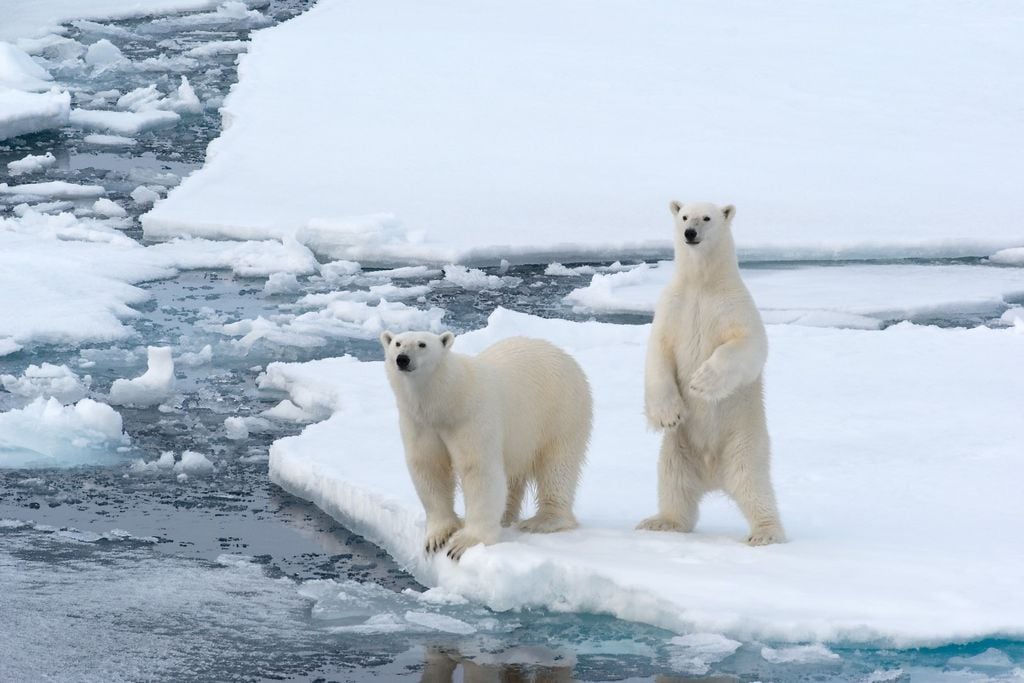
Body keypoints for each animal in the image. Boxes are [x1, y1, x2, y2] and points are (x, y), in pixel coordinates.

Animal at [380, 330, 593, 560]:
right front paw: (438, 537)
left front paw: (464, 542)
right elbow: (429, 468)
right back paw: (505, 517)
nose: (402, 359)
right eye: (397, 343)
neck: (448, 400)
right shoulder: (419, 423)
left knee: (557, 465)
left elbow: (478, 469)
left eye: (422, 344)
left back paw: (543, 520)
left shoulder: (472, 417)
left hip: (560, 411)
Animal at [637, 201, 785, 546]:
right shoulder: (672, 307)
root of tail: (713, 475)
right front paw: (668, 415)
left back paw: (765, 533)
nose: (690, 233)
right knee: (673, 485)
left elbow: (750, 344)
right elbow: (658, 354)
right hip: (677, 451)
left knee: (754, 487)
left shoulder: (733, 306)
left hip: (743, 444)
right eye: (683, 216)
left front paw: (702, 382)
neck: (702, 284)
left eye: (707, 217)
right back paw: (661, 522)